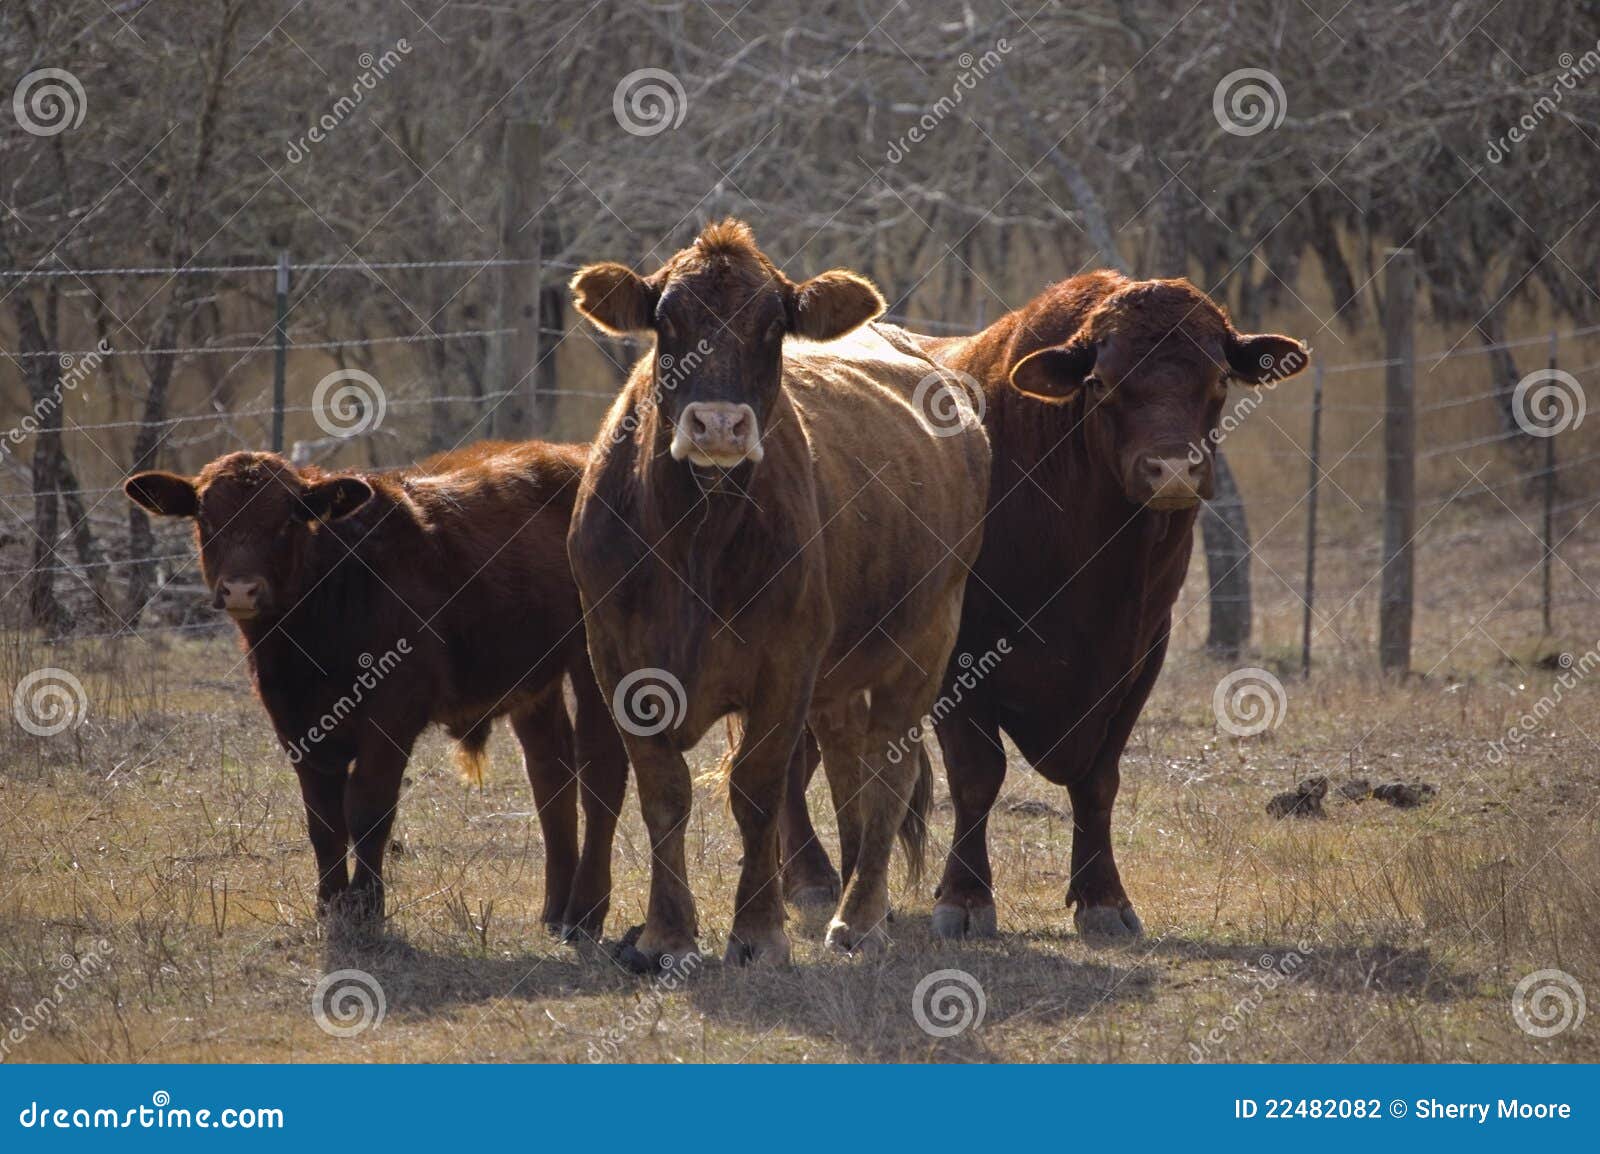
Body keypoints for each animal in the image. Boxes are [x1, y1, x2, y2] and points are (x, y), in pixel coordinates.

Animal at [124, 441, 629, 936]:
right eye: (207, 518)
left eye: (288, 519)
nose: (241, 591)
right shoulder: (295, 725)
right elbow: (323, 821)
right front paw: (330, 904)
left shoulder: (392, 717)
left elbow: (368, 810)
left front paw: (367, 906)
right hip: (535, 683)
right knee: (551, 774)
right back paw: (555, 908)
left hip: (597, 663)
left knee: (601, 768)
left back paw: (585, 912)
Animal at [566, 219, 989, 970]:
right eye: (666, 321)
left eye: (772, 326)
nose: (717, 427)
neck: (696, 540)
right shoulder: (616, 659)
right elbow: (663, 791)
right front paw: (665, 935)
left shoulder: (786, 664)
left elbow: (757, 788)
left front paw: (757, 931)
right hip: (840, 675)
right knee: (850, 764)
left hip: (926, 639)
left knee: (887, 771)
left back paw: (860, 914)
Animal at [782, 270, 1308, 939]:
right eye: (1103, 383)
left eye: (1218, 379)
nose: (1172, 472)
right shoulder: (960, 655)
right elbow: (977, 776)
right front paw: (966, 898)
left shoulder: (1143, 654)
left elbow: (1099, 779)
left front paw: (1104, 898)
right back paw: (812, 879)